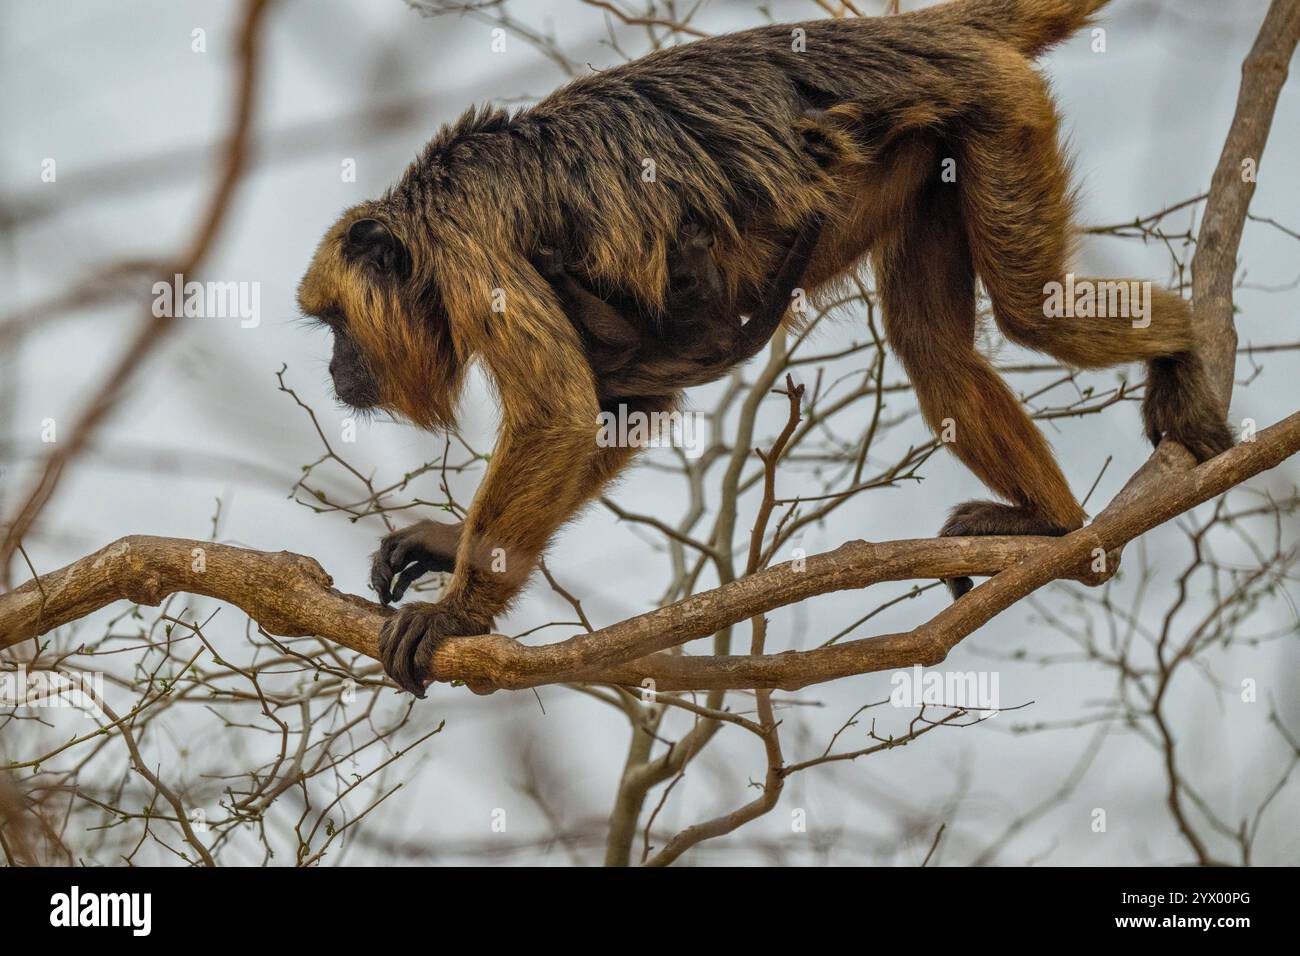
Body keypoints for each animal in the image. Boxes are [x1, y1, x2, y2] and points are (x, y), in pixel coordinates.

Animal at [299, 0, 1233, 696]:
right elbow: (624, 405)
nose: (335, 369)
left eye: (338, 324)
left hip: (998, 103)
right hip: (941, 143)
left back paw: (1181, 353)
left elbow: (559, 412)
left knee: (1033, 313)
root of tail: (913, 34)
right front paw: (443, 541)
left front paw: (456, 613)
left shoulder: (466, 245)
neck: (424, 224)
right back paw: (1049, 523)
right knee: (934, 347)